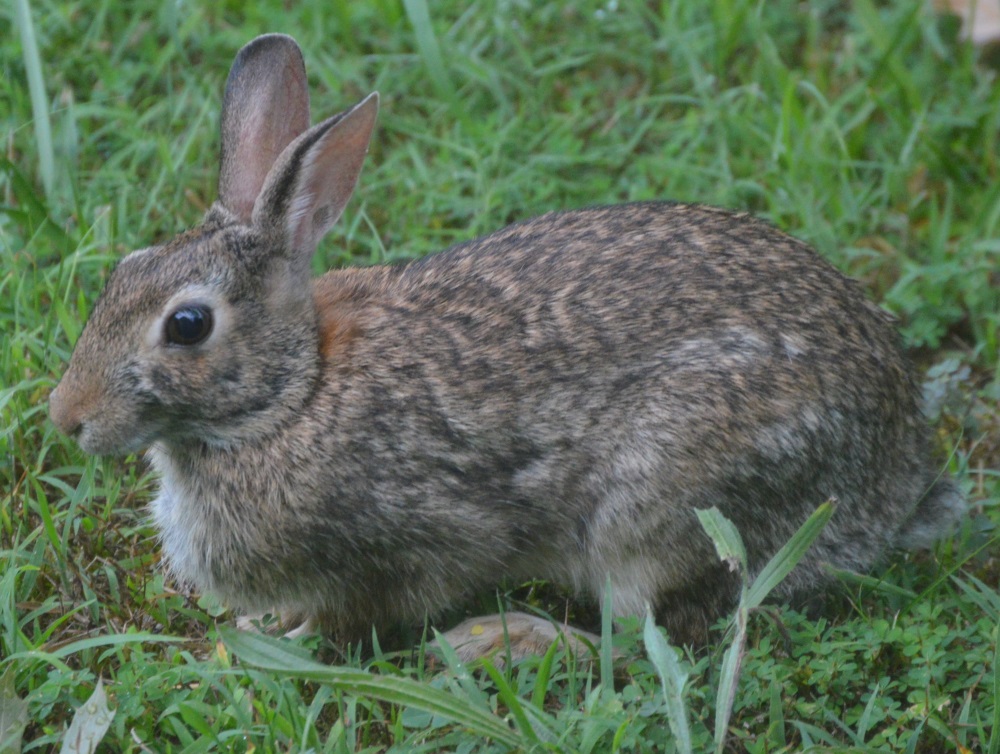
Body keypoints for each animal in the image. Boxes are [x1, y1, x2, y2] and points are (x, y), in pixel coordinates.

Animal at [49, 33, 964, 655]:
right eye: (124, 269)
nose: (65, 417)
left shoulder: (408, 544)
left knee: (641, 642)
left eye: (188, 325)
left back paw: (501, 641)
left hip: (664, 502)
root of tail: (894, 482)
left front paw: (287, 641)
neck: (294, 394)